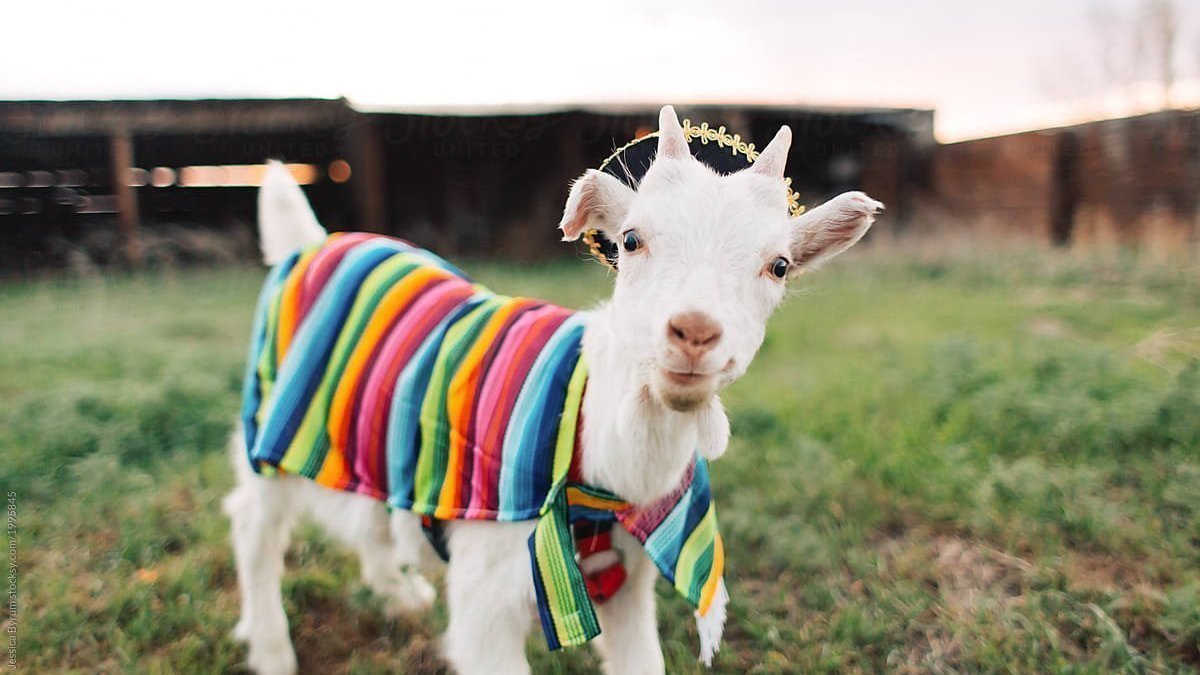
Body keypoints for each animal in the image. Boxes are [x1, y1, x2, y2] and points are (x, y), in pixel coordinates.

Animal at [225, 105, 882, 675]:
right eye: (630, 240)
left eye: (779, 266)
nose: (694, 332)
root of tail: (310, 241)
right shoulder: (486, 595)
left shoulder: (629, 580)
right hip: (276, 420)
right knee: (254, 521)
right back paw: (272, 649)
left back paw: (397, 595)